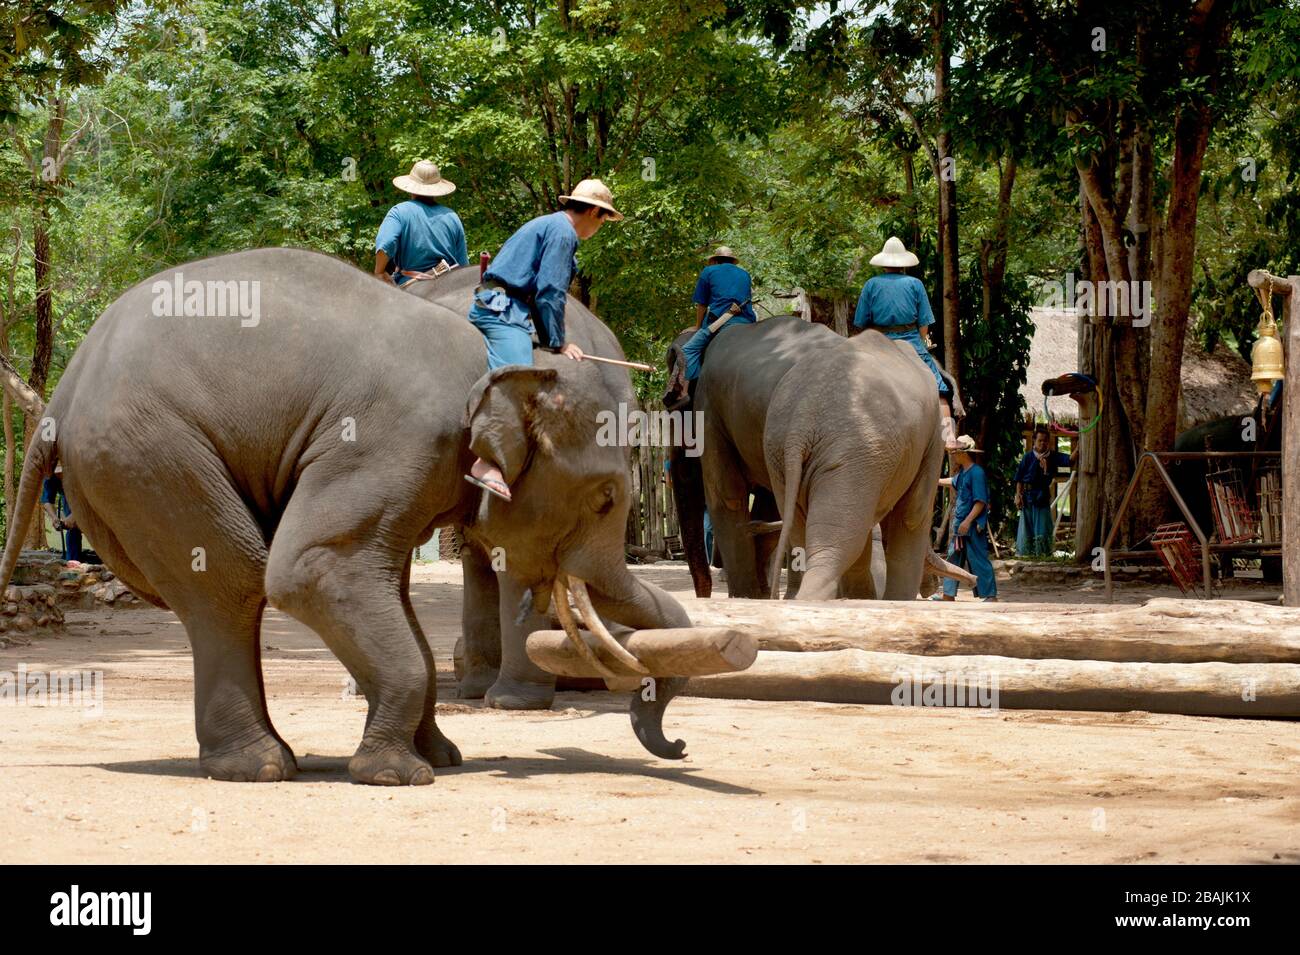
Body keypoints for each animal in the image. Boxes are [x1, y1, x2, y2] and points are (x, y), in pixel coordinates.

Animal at [0, 247, 693, 786]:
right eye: (605, 498)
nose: (680, 747)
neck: (502, 360)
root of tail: (61, 395)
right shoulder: (394, 438)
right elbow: (318, 570)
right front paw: (399, 773)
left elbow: (387, 590)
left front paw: (440, 757)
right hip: (149, 452)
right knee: (235, 579)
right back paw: (260, 768)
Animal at [665, 316, 965, 600]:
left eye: (671, 408)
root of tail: (801, 423)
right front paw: (755, 596)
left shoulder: (713, 412)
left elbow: (731, 498)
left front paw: (750, 596)